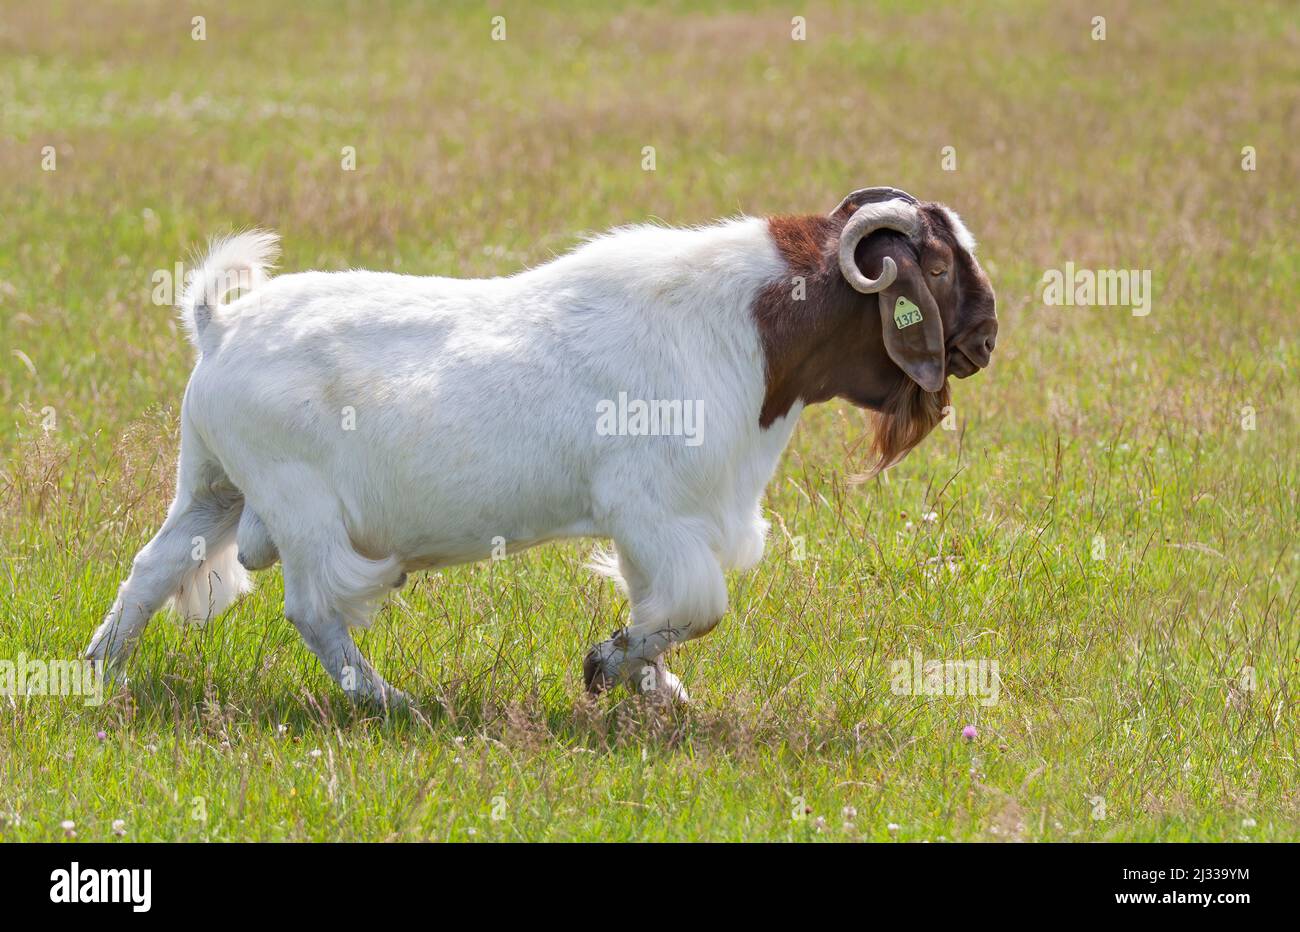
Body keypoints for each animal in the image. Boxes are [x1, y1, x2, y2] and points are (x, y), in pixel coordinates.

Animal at [86, 187, 997, 707]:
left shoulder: (660, 526)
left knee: (152, 567)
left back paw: (100, 674)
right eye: (938, 266)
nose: (985, 341)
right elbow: (696, 606)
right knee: (312, 607)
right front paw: (607, 667)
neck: (744, 326)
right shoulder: (653, 510)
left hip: (215, 487)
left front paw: (656, 690)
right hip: (299, 503)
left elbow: (660, 607)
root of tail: (220, 327)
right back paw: (392, 703)